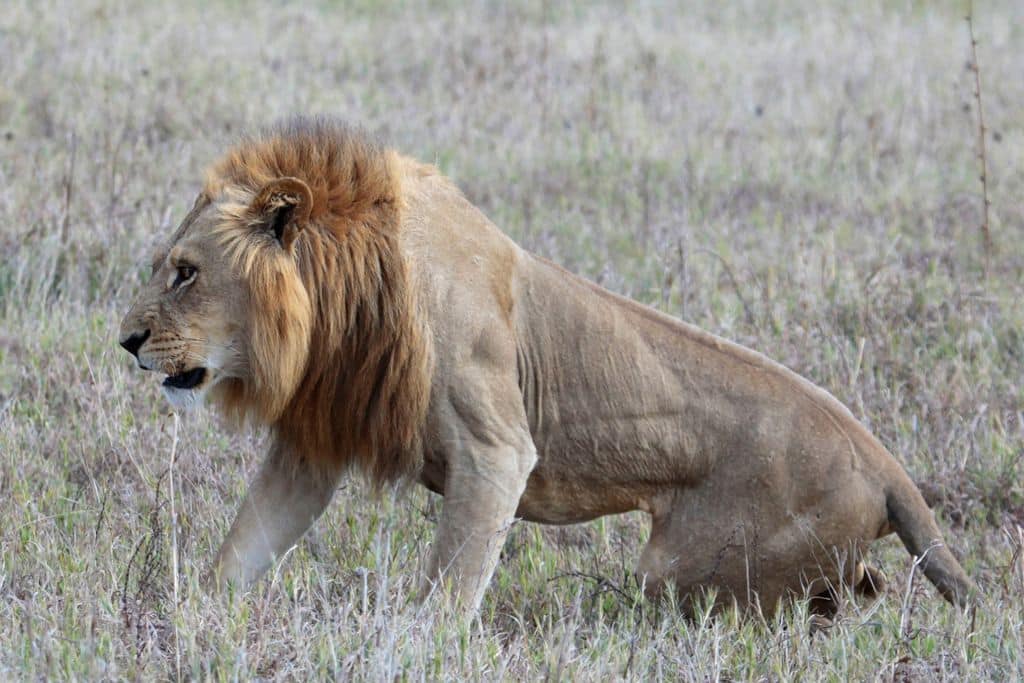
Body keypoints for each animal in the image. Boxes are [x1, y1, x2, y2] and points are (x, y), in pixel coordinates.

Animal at [118, 118, 975, 616]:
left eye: (186, 272)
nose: (125, 339)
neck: (342, 303)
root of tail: (886, 461)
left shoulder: (495, 447)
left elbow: (450, 580)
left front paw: (419, 642)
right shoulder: (316, 437)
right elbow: (247, 541)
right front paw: (189, 618)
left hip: (679, 564)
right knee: (858, 590)